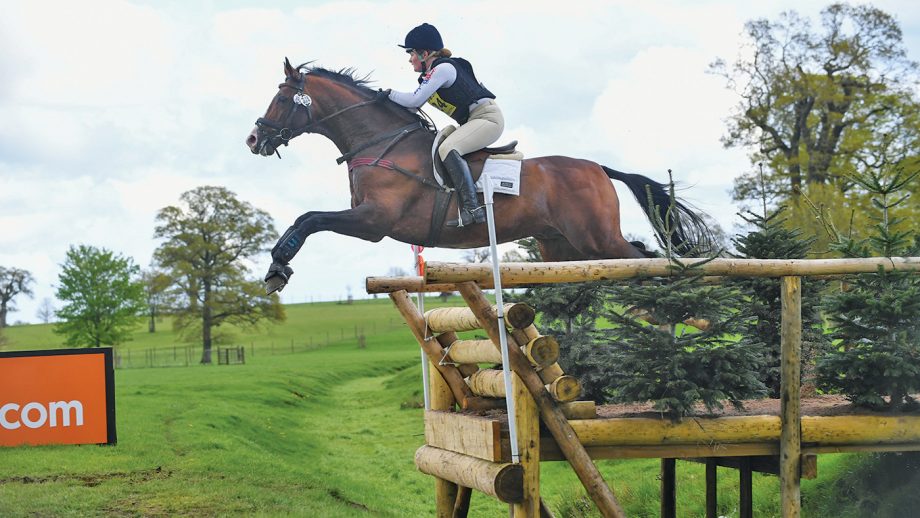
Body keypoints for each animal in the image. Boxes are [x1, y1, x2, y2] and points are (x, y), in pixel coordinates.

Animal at [247, 58, 714, 294]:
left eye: (281, 99)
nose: (254, 139)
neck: (380, 142)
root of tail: (598, 167)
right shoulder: (368, 219)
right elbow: (308, 218)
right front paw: (277, 267)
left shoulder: (374, 221)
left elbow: (311, 219)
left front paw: (279, 265)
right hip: (562, 248)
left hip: (596, 239)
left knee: (645, 258)